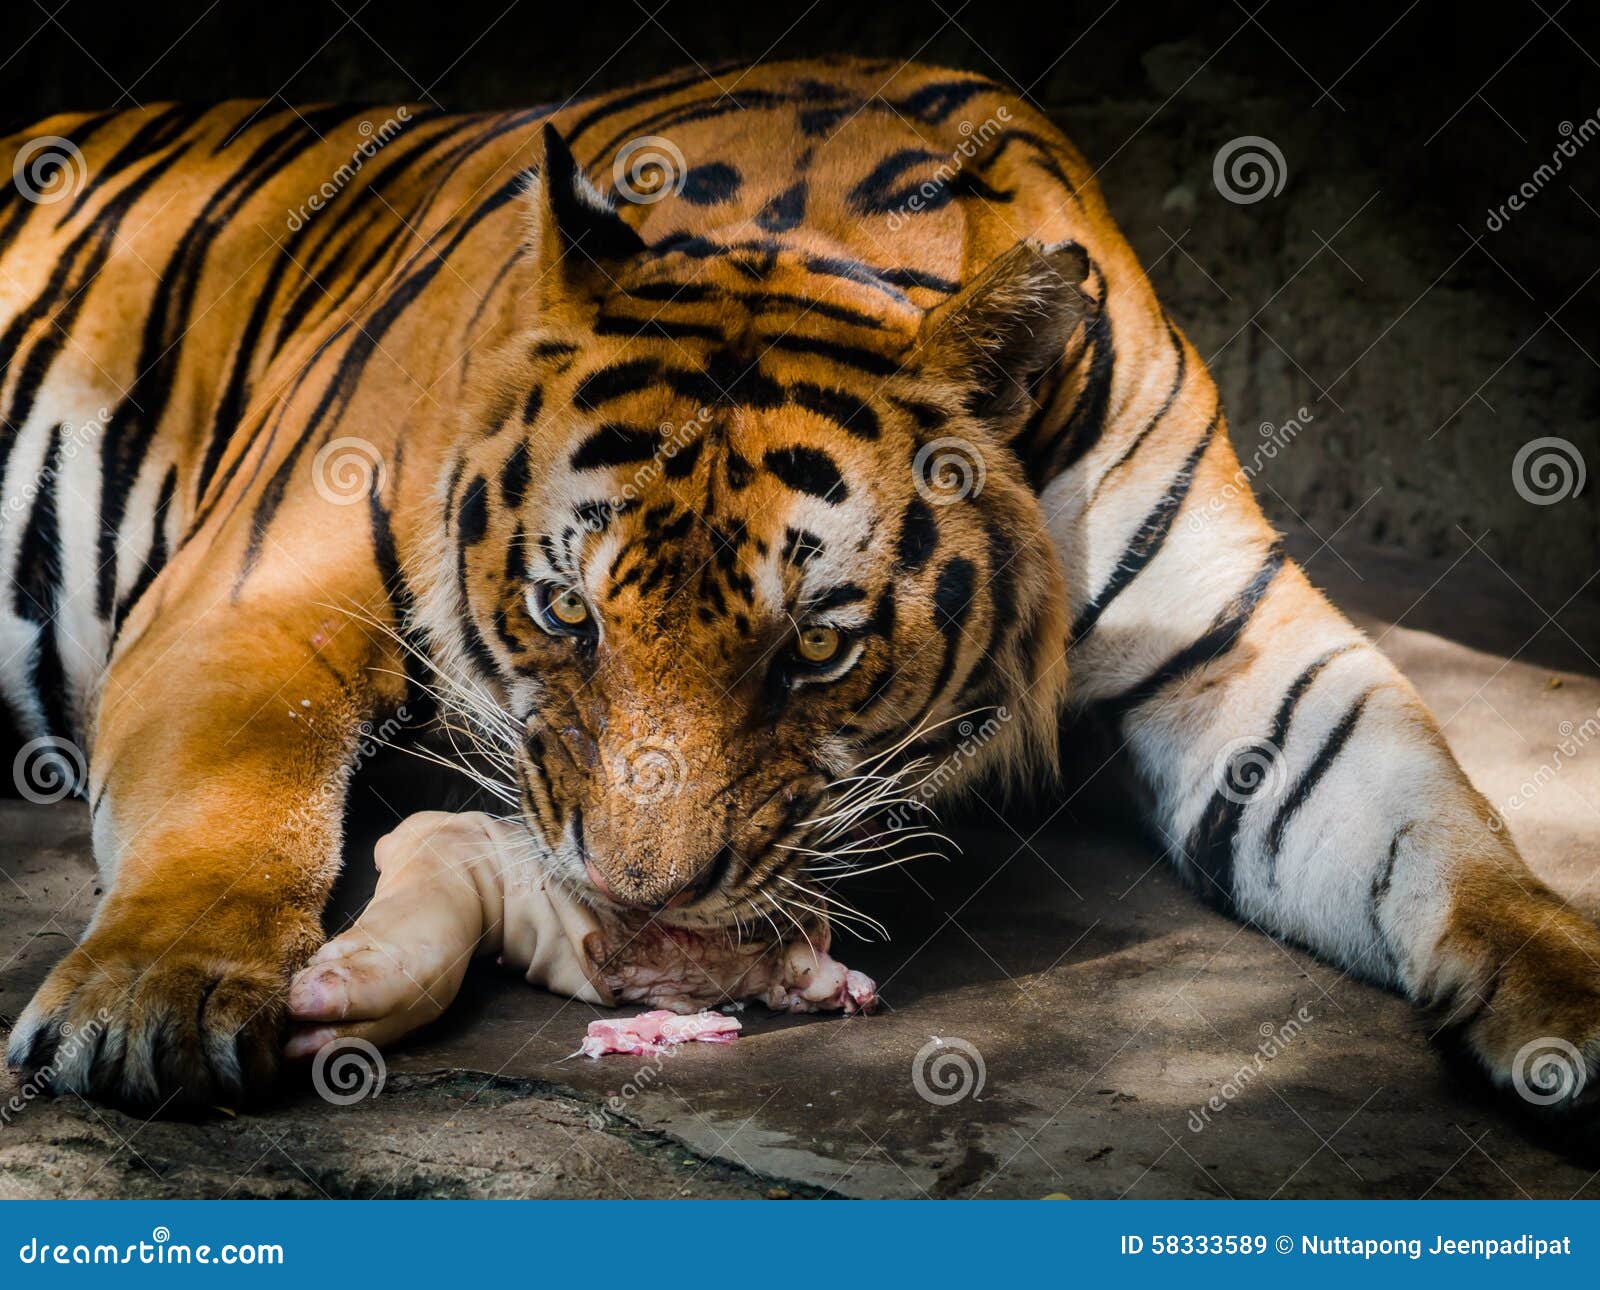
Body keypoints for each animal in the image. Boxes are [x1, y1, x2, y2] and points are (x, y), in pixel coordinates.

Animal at [1, 57, 1596, 1125]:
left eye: (814, 652)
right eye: (568, 615)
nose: (635, 906)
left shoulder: (1239, 650)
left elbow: (1433, 821)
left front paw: (1562, 994)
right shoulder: (253, 584)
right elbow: (241, 788)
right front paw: (152, 997)